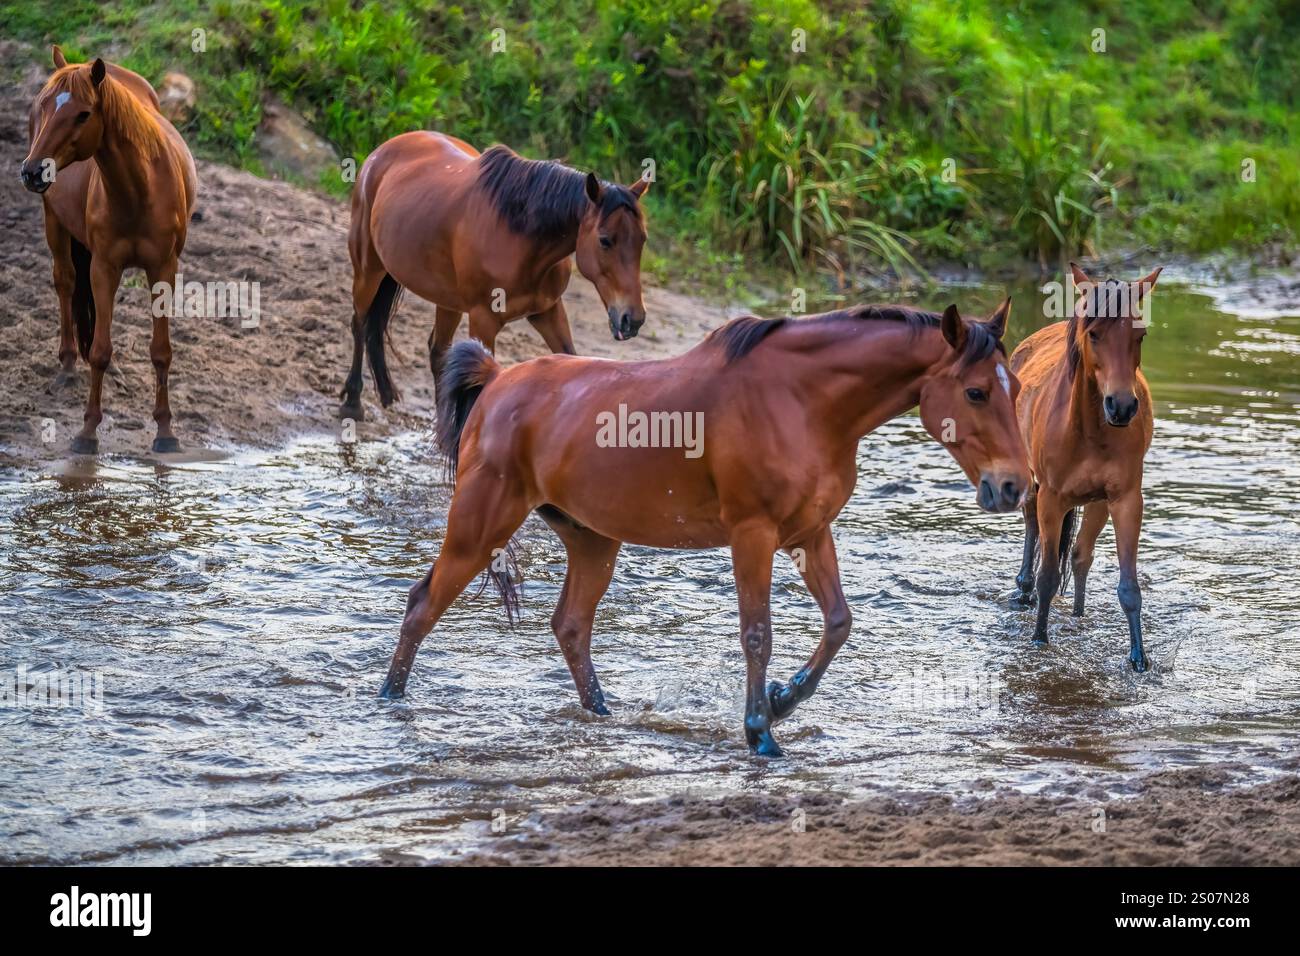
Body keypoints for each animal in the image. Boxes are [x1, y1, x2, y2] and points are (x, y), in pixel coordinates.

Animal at [20, 46, 197, 455]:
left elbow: (161, 351)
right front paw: (87, 433)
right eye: (44, 105)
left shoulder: (163, 269)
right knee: (66, 283)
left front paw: (166, 432)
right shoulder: (104, 267)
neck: (139, 189)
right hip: (54, 221)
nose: (33, 171)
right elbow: (100, 350)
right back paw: (69, 364)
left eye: (83, 114)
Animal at [337, 133, 650, 417]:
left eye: (642, 240)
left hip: (446, 299)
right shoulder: (483, 320)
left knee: (438, 353)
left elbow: (571, 359)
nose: (633, 319)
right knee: (360, 323)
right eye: (605, 240)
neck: (522, 236)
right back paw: (352, 402)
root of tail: (384, 150)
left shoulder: (548, 311)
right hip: (368, 270)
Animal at [378, 300, 1032, 757]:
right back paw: (390, 699)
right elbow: (757, 634)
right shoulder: (754, 534)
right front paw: (760, 731)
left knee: (570, 626)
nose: (1014, 486)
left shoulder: (809, 533)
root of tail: (497, 378)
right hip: (479, 526)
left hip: (592, 539)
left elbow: (839, 623)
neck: (804, 401)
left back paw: (602, 714)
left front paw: (784, 700)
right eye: (976, 392)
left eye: (1018, 388)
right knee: (423, 604)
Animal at [1010, 263, 1162, 670]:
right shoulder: (1052, 498)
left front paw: (1139, 658)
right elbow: (1049, 574)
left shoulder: (1125, 500)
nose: (1122, 406)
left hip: (1097, 503)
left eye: (1140, 335)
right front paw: (1039, 640)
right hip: (1034, 483)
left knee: (1080, 556)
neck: (1089, 431)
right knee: (1032, 525)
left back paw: (1077, 614)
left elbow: (1128, 585)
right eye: (1094, 334)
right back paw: (1023, 590)